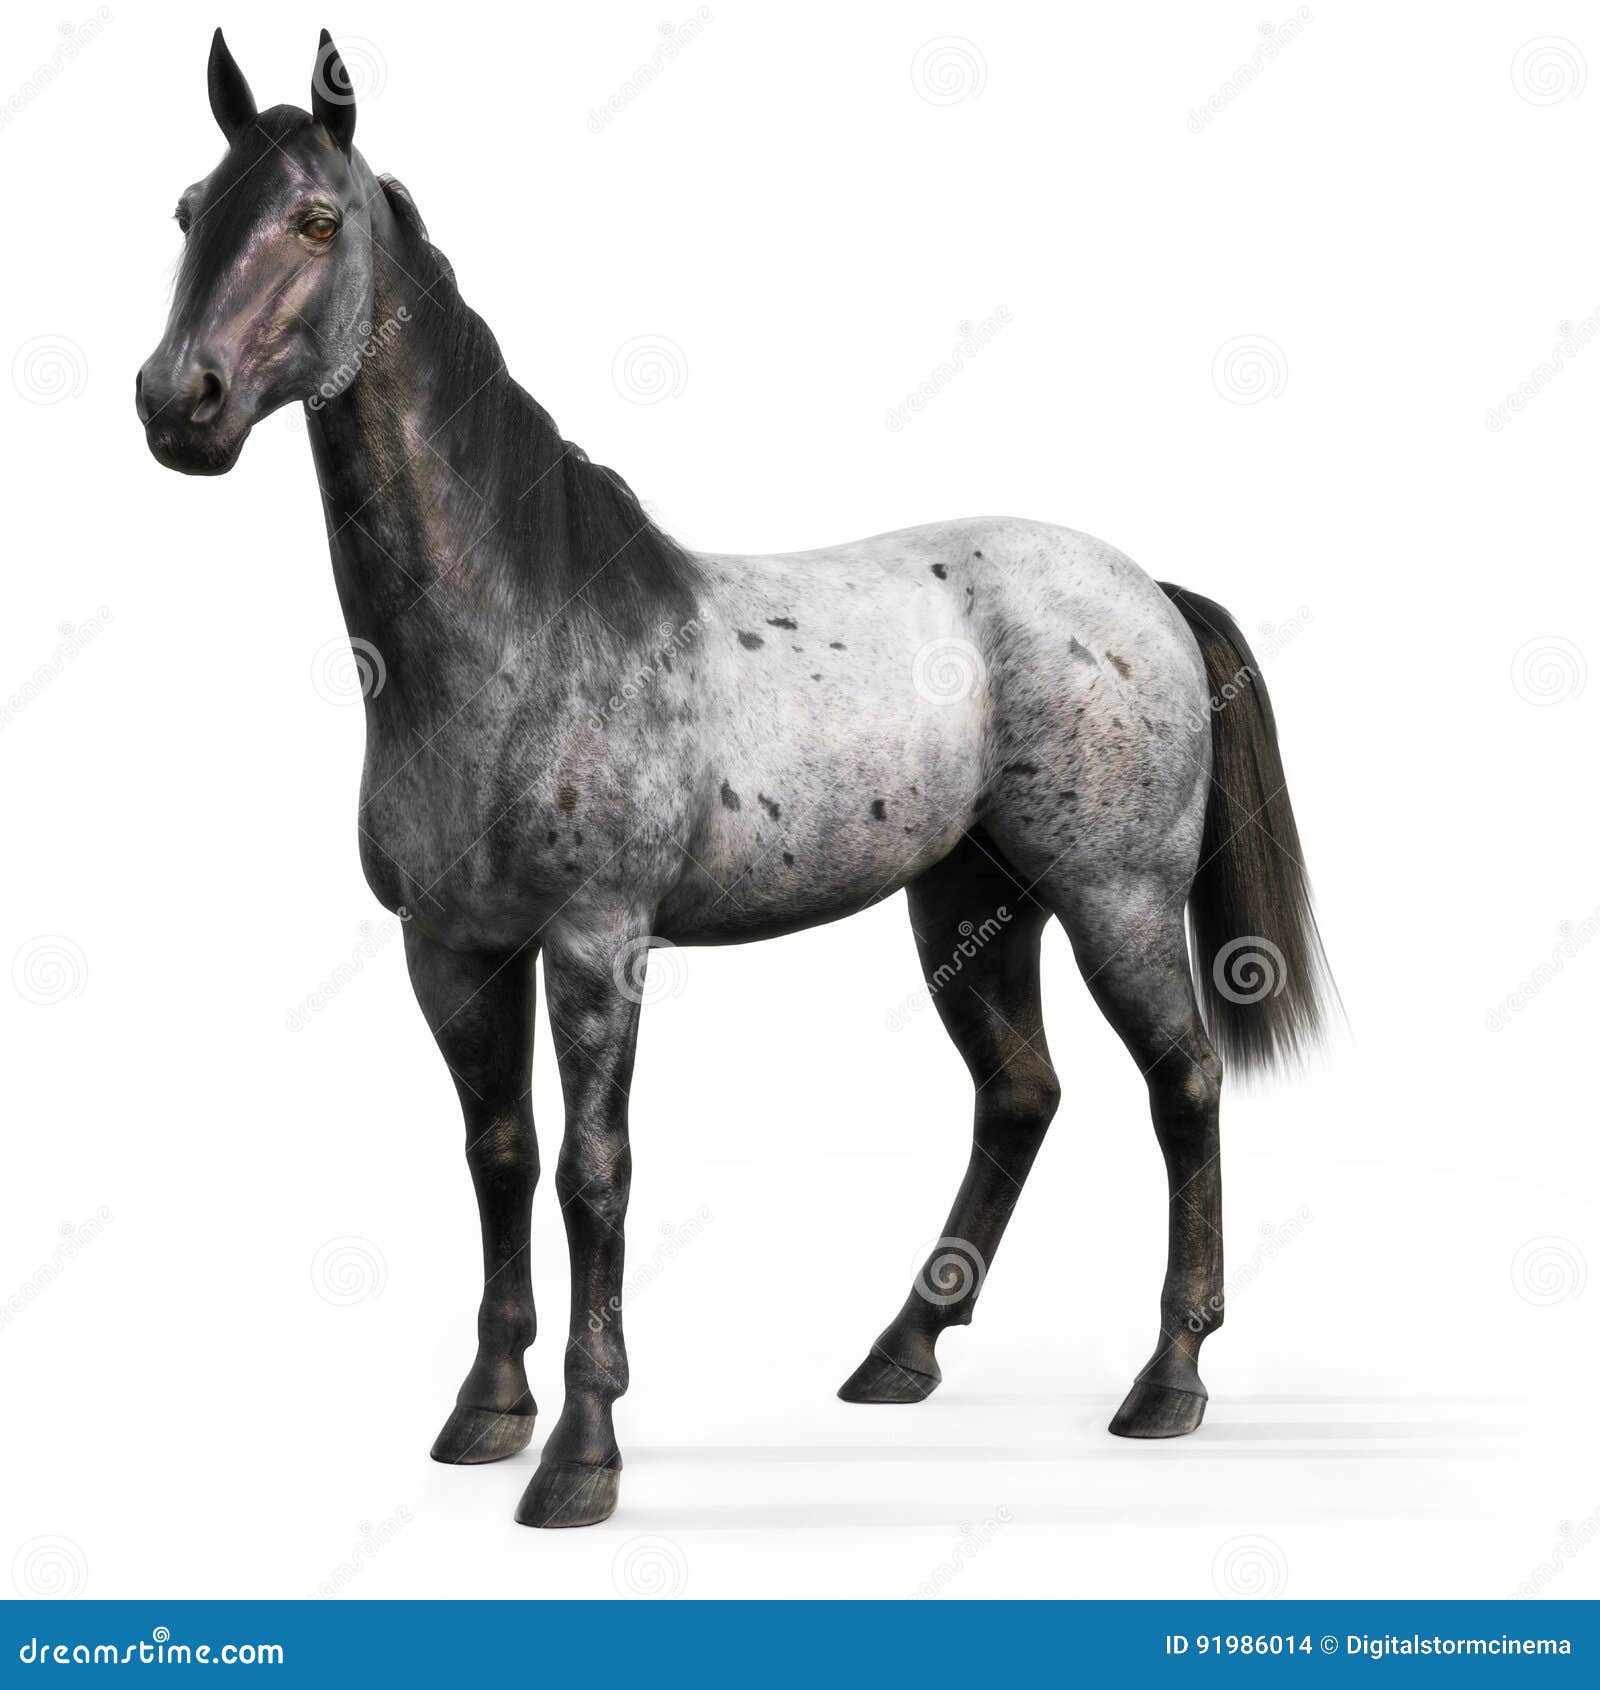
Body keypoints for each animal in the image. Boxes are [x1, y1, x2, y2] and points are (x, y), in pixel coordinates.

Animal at [136, 31, 1337, 1529]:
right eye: (190, 211)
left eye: (312, 220)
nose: (176, 404)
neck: (518, 624)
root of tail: (1151, 593)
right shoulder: (452, 950)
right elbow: (499, 1156)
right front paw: (486, 1411)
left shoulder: (597, 941)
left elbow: (595, 1173)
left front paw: (581, 1454)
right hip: (967, 905)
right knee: (1020, 1093)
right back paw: (899, 1355)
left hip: (1114, 897)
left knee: (1182, 1086)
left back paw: (1166, 1381)